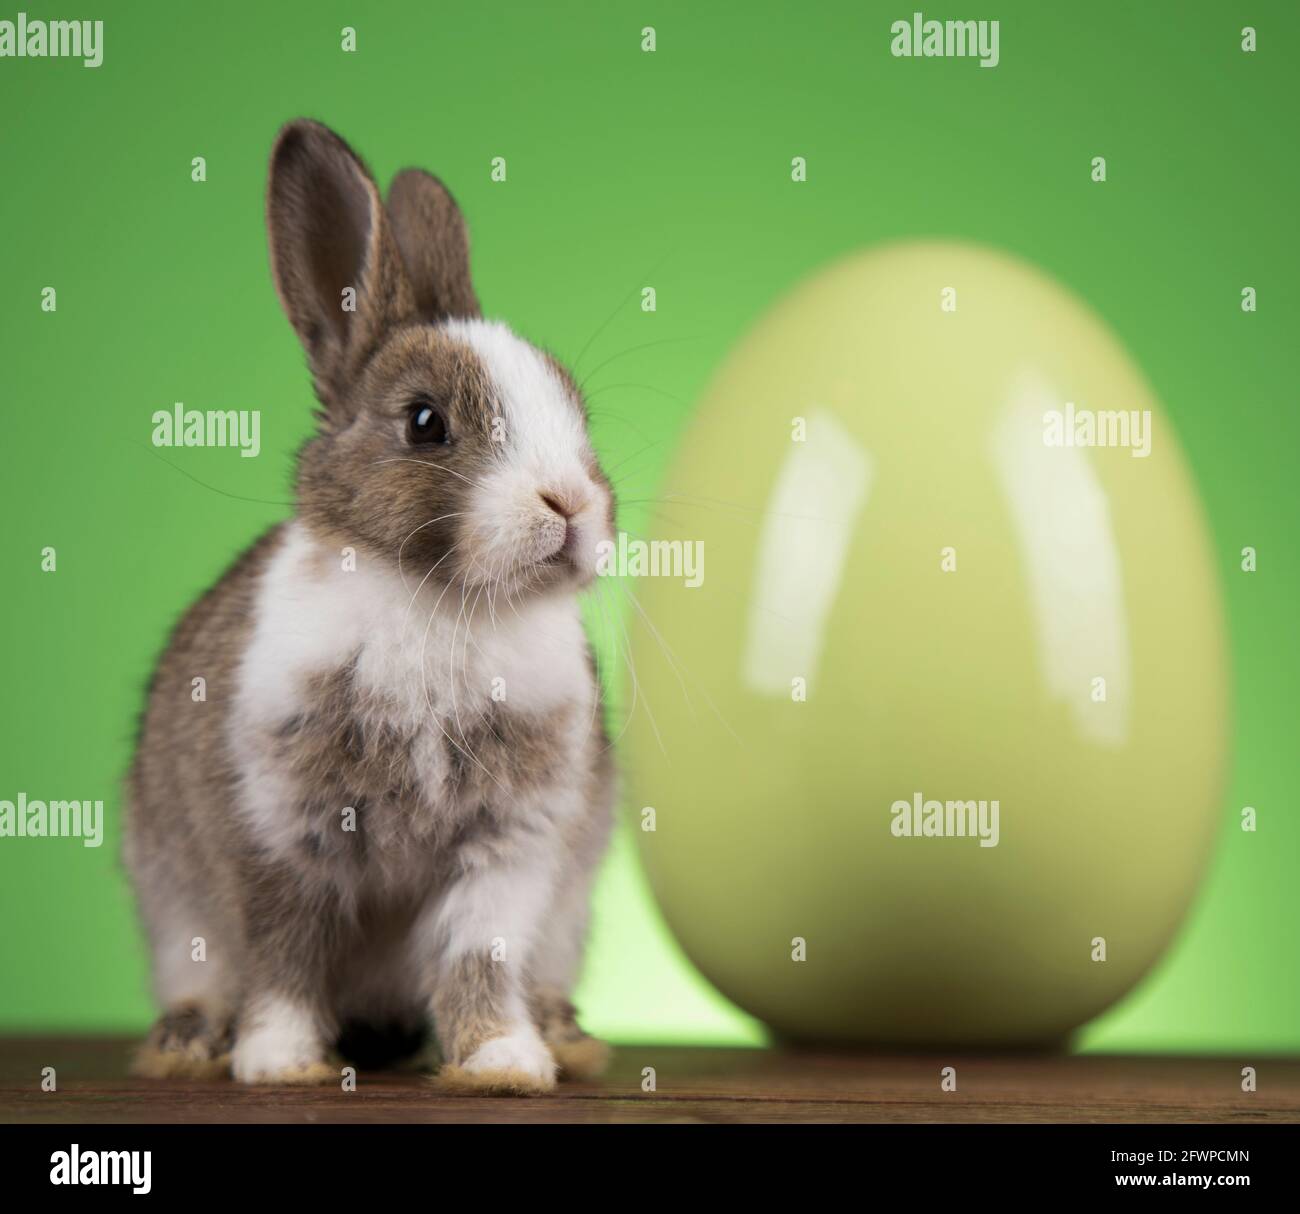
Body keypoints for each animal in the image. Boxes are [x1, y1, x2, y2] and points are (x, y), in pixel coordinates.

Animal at [123, 118, 617, 1095]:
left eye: (574, 408)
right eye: (425, 422)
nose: (572, 504)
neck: (441, 605)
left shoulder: (512, 848)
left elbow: (476, 957)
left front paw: (502, 1062)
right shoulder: (279, 833)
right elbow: (284, 952)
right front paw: (280, 1063)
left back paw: (562, 1036)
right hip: (171, 907)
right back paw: (186, 1043)